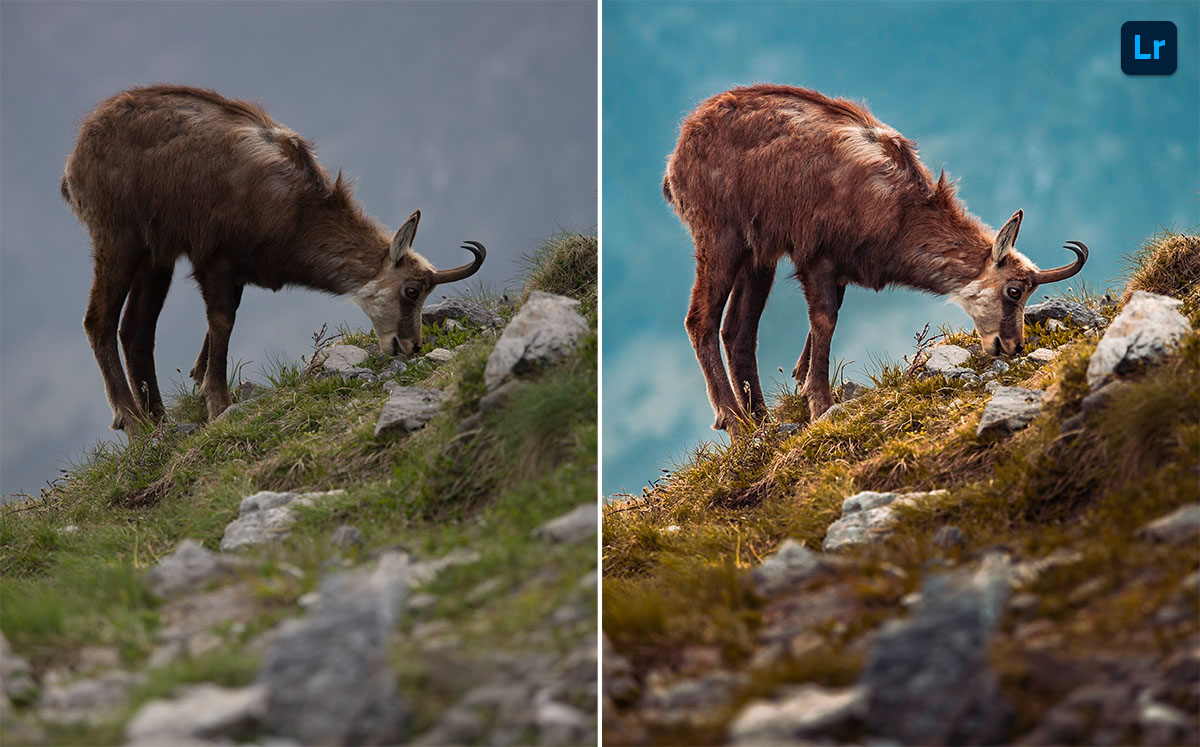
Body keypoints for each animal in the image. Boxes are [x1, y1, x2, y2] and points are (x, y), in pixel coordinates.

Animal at [62, 85, 485, 429]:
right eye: (412, 291)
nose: (411, 346)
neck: (296, 212)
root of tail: (74, 160)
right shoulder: (216, 261)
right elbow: (222, 323)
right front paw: (218, 403)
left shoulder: (236, 271)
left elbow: (217, 327)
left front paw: (200, 381)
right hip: (118, 239)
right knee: (98, 321)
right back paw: (132, 422)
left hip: (156, 257)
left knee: (136, 331)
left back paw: (159, 422)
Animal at [663, 84, 1087, 430]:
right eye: (1014, 290)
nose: (1012, 346)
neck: (898, 210)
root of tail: (676, 160)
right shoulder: (818, 258)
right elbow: (825, 321)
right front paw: (820, 404)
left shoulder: (839, 269)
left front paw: (802, 382)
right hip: (721, 238)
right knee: (700, 321)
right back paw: (734, 423)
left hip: (757, 256)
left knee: (737, 331)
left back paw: (760, 423)